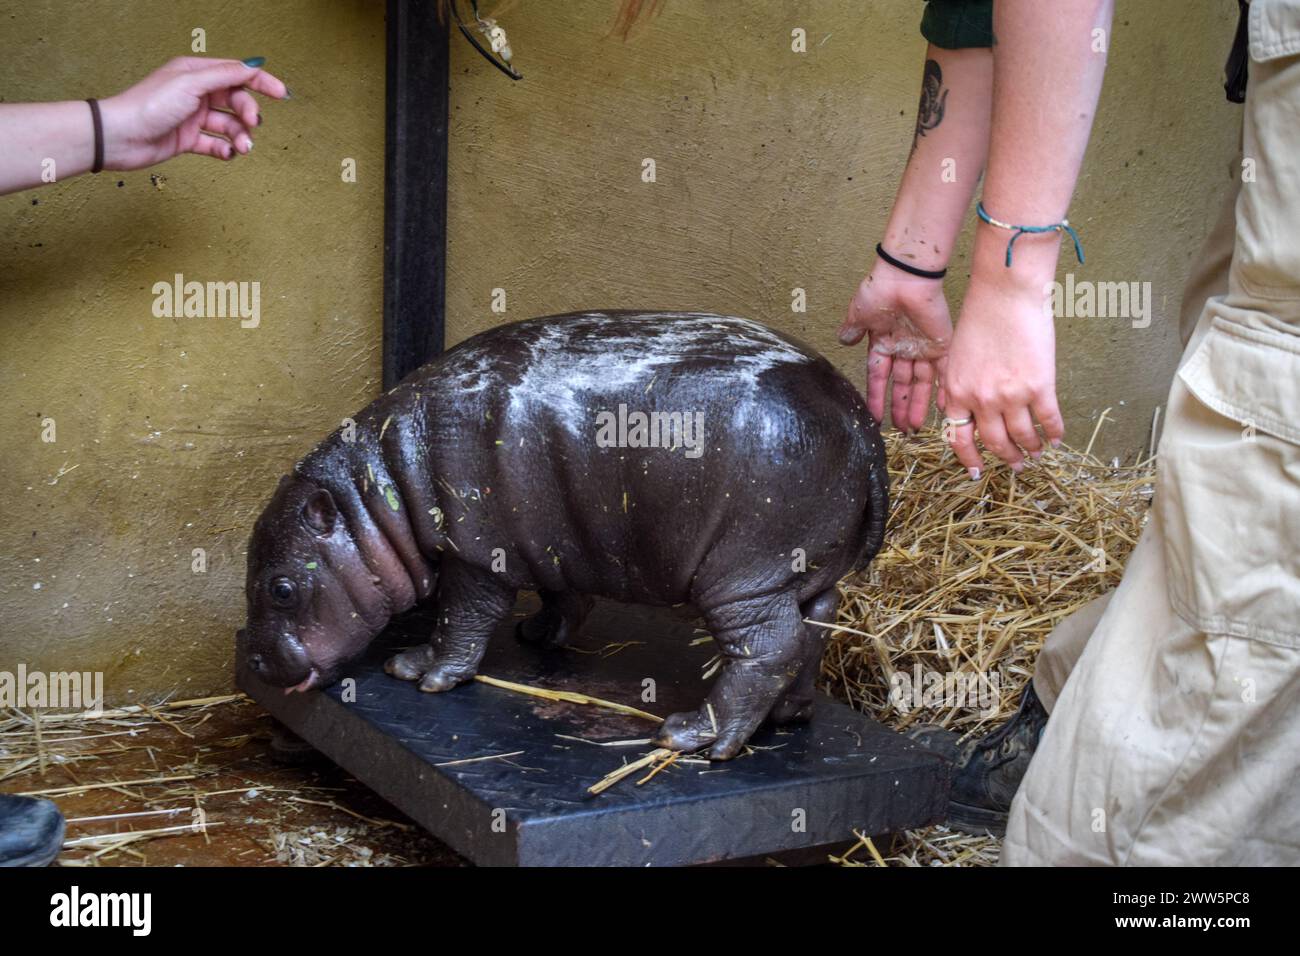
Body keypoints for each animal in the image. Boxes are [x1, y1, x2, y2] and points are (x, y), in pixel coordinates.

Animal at [238, 311, 888, 759]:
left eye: (282, 589)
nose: (254, 657)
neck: (377, 490)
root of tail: (859, 419)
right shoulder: (552, 539)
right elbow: (563, 593)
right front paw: (538, 635)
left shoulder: (480, 554)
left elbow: (461, 618)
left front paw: (419, 671)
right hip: (800, 566)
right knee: (815, 625)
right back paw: (789, 716)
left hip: (746, 573)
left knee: (768, 646)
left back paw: (692, 737)